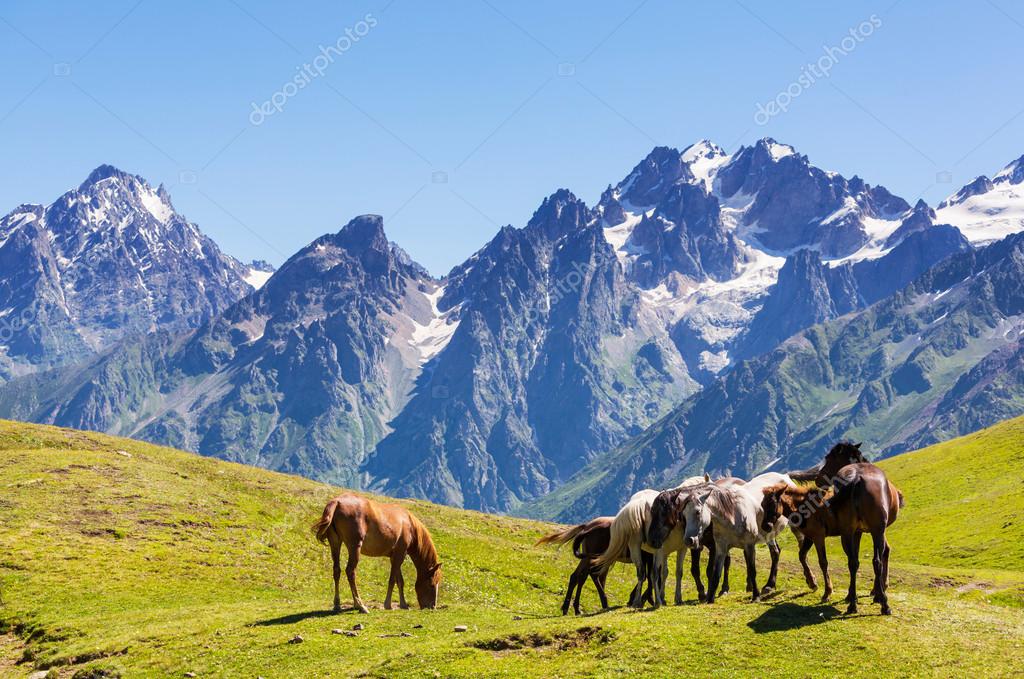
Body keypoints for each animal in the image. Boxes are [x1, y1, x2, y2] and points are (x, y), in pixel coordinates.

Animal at [313, 494, 441, 613]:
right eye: (431, 584)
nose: (432, 606)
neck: (409, 524)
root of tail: (337, 502)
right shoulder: (400, 554)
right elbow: (392, 580)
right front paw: (388, 605)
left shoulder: (395, 557)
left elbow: (400, 581)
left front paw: (404, 605)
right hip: (354, 547)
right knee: (350, 572)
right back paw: (360, 605)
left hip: (335, 543)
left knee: (336, 570)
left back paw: (337, 604)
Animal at [680, 472, 794, 603]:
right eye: (683, 515)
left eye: (698, 512)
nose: (689, 540)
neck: (732, 516)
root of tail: (785, 476)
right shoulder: (720, 548)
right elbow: (714, 572)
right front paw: (710, 597)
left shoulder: (746, 545)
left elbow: (752, 570)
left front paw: (756, 596)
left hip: (772, 534)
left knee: (775, 553)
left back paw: (769, 585)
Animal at [761, 464, 904, 615]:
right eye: (762, 504)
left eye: (772, 503)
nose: (765, 526)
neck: (804, 505)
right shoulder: (810, 537)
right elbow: (802, 556)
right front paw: (812, 582)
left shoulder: (818, 537)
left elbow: (823, 562)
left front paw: (827, 591)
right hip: (869, 531)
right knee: (878, 556)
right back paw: (874, 595)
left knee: (879, 556)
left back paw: (877, 596)